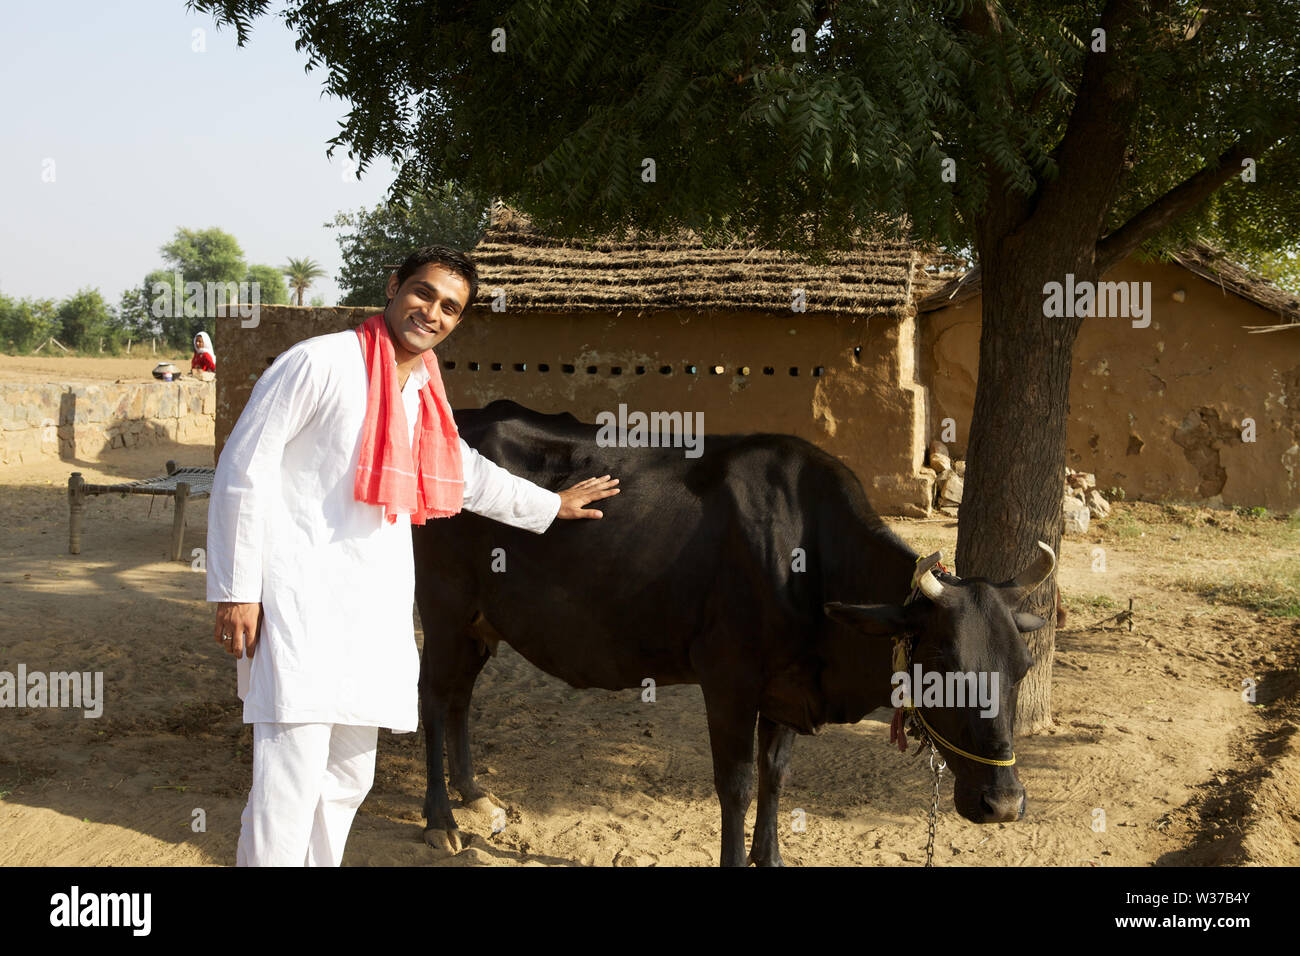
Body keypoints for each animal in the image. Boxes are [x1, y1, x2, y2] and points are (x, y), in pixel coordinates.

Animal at [413, 400, 1055, 866]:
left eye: (1021, 668)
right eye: (943, 662)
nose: (1004, 803)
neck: (808, 555)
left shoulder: (788, 690)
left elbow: (775, 778)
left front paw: (768, 858)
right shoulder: (728, 681)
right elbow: (737, 786)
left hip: (480, 623)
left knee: (462, 695)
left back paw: (474, 794)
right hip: (442, 609)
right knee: (433, 698)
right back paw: (441, 820)